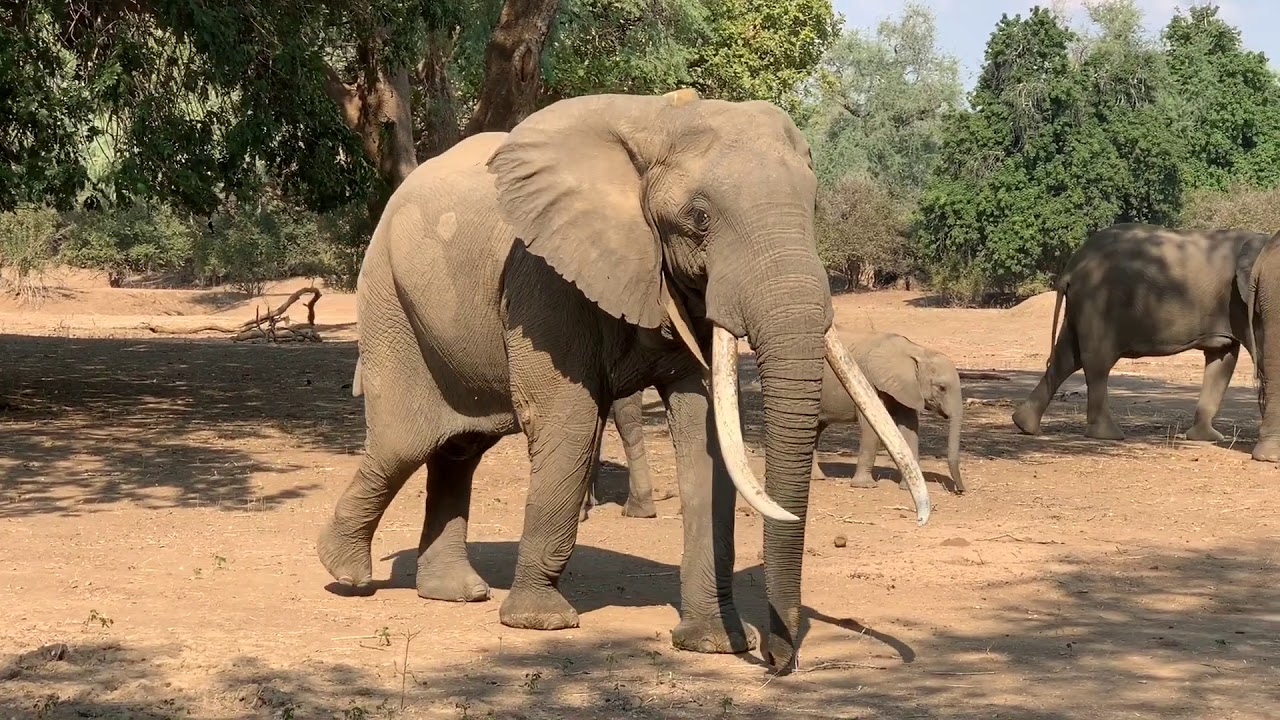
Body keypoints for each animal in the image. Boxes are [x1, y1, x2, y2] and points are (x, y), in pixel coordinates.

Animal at [315, 89, 931, 672]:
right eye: (700, 218)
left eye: (814, 208)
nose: (781, 662)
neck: (659, 121)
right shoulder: (543, 271)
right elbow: (569, 419)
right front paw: (540, 621)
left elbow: (707, 434)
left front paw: (714, 644)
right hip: (389, 301)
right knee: (403, 443)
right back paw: (346, 575)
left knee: (459, 448)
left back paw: (454, 593)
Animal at [1012, 223, 1270, 442]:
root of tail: (1071, 268)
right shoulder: (1245, 303)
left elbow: (1223, 360)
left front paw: (1206, 439)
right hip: (1098, 300)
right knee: (1096, 362)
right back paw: (1108, 435)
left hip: (1082, 303)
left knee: (1066, 357)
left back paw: (1024, 425)